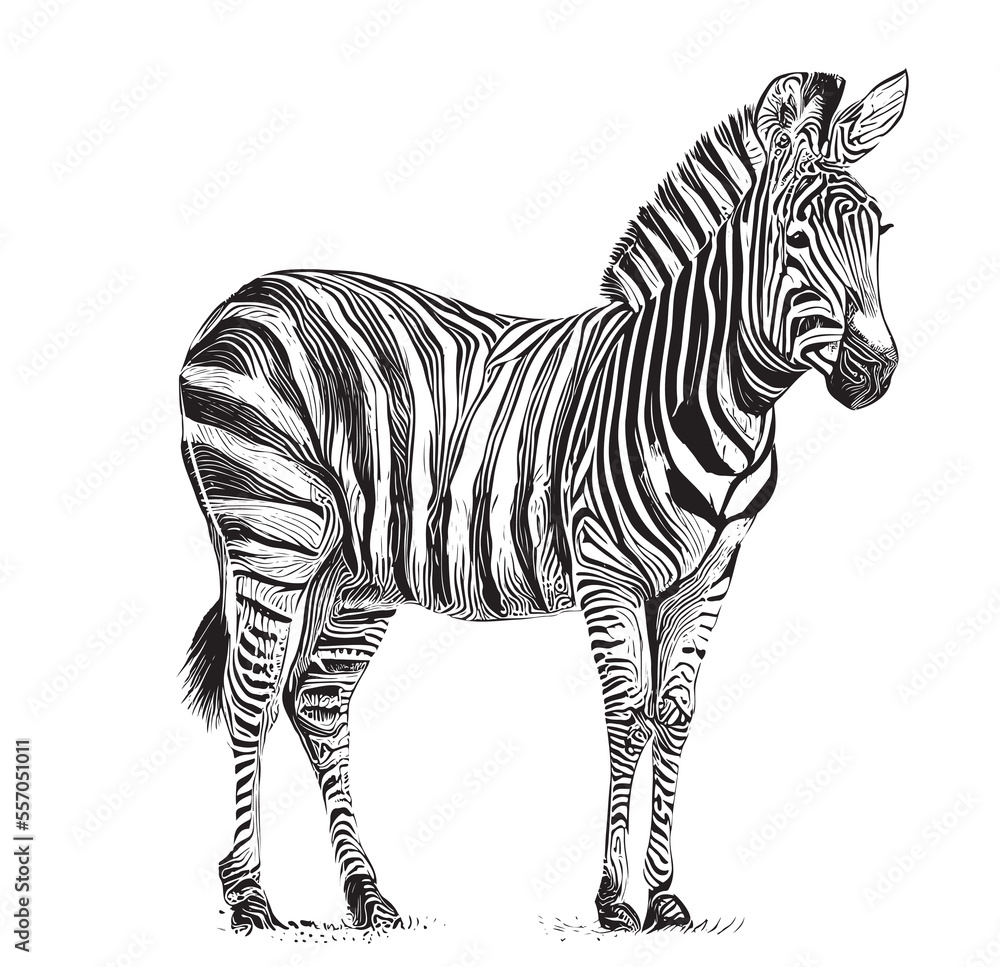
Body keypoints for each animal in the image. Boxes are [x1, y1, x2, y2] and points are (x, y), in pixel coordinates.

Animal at [179, 69, 907, 933]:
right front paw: (614, 899)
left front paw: (667, 896)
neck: (699, 393)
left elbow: (677, 717)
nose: (877, 371)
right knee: (250, 695)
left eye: (881, 230)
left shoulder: (707, 578)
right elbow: (629, 715)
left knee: (317, 703)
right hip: (270, 530)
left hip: (354, 574)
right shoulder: (607, 572)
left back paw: (367, 895)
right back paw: (250, 895)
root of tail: (239, 299)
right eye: (794, 238)